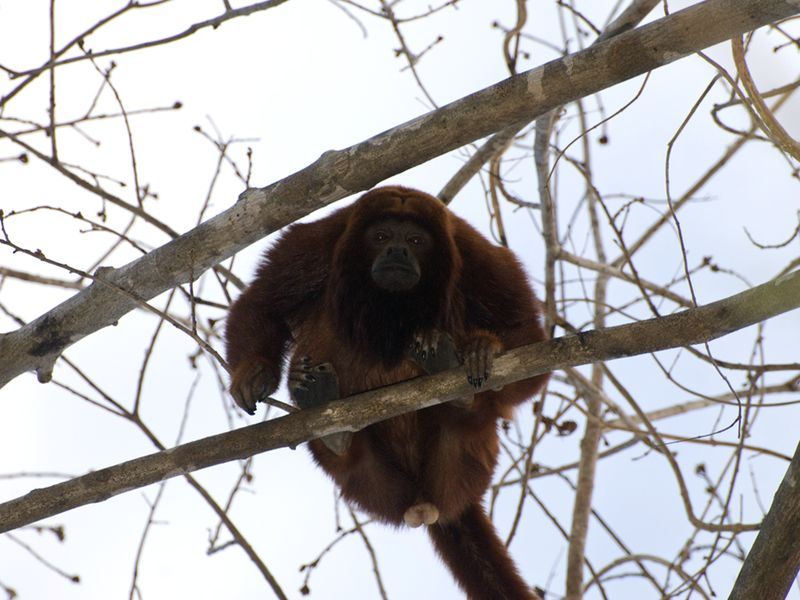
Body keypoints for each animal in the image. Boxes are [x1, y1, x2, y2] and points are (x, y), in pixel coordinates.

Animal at [225, 185, 548, 599]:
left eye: (415, 240)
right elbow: (264, 302)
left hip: (472, 459)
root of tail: (428, 502)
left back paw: (458, 390)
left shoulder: (475, 253)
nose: (397, 251)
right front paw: (253, 372)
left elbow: (525, 331)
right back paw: (333, 427)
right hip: (370, 486)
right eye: (381, 236)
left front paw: (483, 348)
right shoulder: (319, 240)